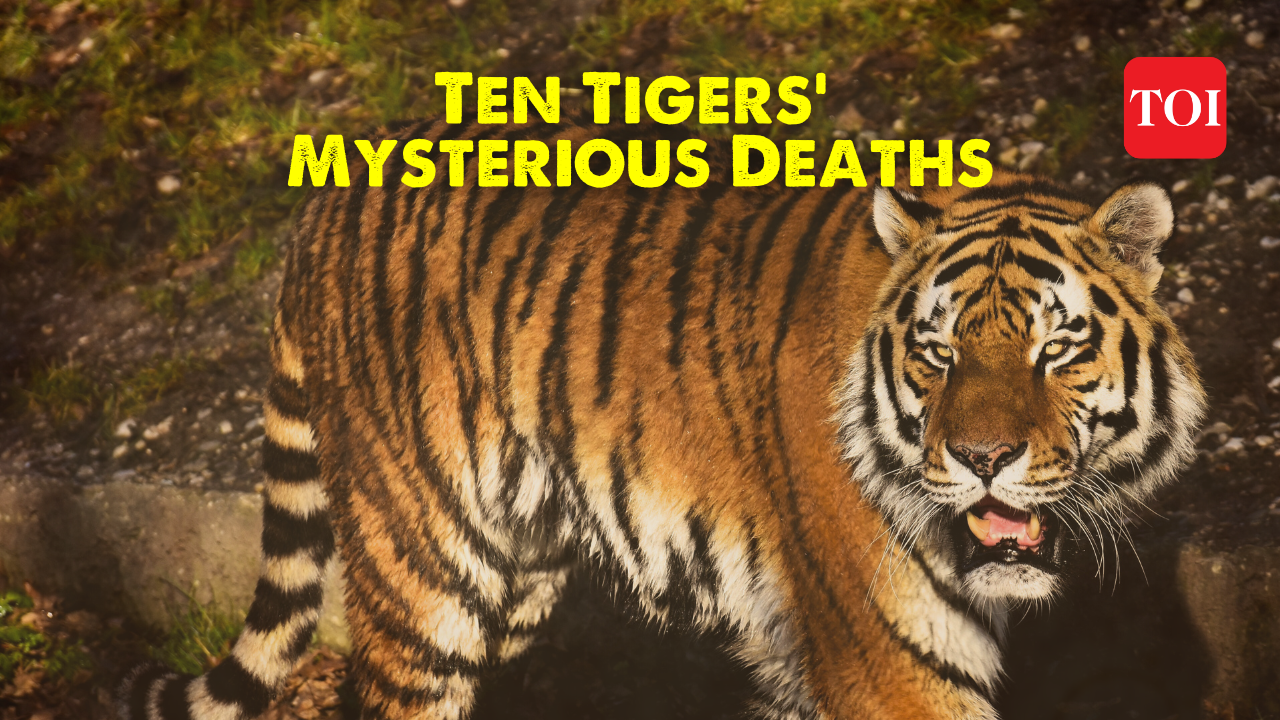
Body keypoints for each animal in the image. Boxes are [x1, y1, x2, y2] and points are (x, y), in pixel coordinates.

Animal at [119, 117, 1206, 720]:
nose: (982, 458)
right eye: (936, 354)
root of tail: (323, 206)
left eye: (1055, 348)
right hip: (422, 567)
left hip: (517, 575)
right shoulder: (892, 665)